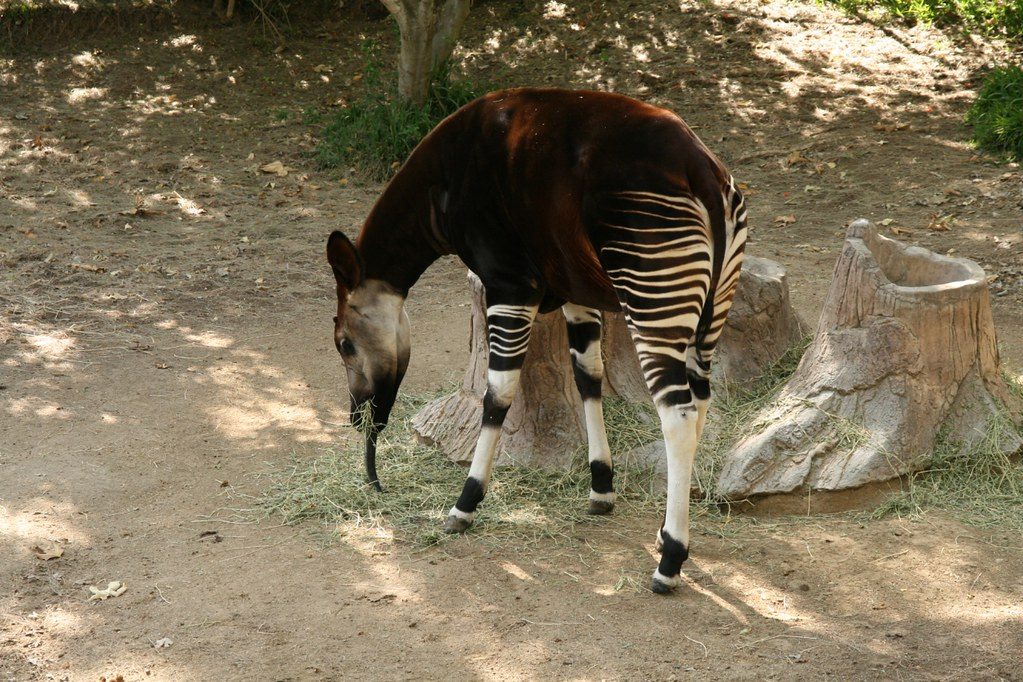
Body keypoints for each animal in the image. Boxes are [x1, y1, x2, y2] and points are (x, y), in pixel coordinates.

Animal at [325, 88, 747, 593]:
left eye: (343, 343)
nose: (357, 418)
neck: (441, 186)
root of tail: (701, 168)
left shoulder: (509, 284)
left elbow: (498, 393)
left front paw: (464, 505)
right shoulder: (574, 290)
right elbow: (588, 377)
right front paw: (601, 490)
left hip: (651, 292)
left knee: (678, 413)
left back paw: (669, 563)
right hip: (709, 310)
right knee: (700, 399)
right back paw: (668, 537)